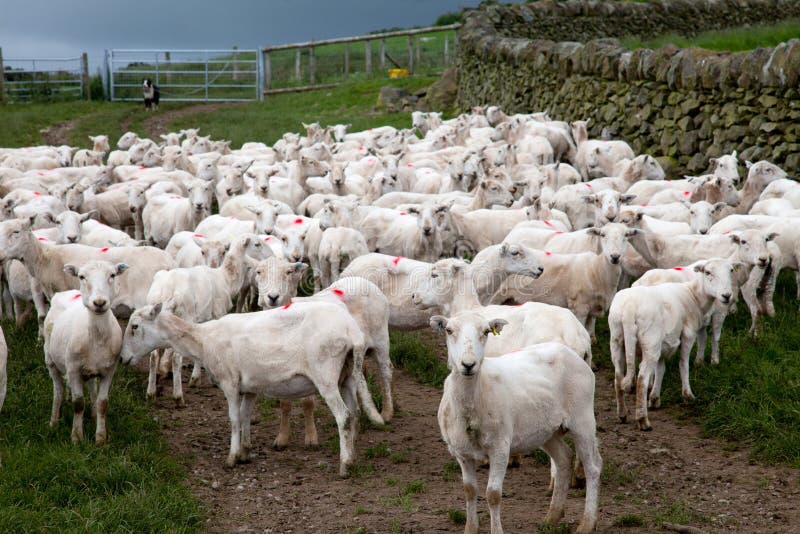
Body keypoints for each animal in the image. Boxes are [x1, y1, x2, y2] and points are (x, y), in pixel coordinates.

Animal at [43, 260, 129, 444]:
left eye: (112, 275)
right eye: (82, 276)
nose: (99, 302)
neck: (97, 338)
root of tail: (67, 292)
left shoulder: (109, 371)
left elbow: (103, 403)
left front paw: (100, 438)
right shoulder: (73, 369)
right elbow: (78, 404)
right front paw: (77, 437)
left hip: (89, 369)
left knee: (91, 388)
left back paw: (93, 414)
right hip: (50, 359)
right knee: (58, 390)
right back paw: (54, 421)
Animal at [120, 300, 366, 476]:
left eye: (135, 327)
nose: (122, 359)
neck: (203, 341)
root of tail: (351, 330)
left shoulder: (230, 382)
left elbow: (234, 418)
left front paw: (231, 458)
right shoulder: (250, 387)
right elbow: (246, 415)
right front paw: (244, 453)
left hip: (326, 375)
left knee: (343, 416)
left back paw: (344, 465)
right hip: (348, 376)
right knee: (355, 413)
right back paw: (353, 458)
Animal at [432, 311, 601, 534]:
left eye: (486, 331)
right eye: (449, 330)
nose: (468, 365)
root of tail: (573, 352)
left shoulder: (500, 447)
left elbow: (493, 494)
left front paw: (496, 530)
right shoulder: (462, 453)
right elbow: (469, 490)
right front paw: (470, 528)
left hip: (582, 418)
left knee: (593, 467)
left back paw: (587, 523)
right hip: (547, 430)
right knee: (564, 460)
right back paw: (552, 517)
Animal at [609, 258, 737, 430]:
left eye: (731, 270)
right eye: (708, 272)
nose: (726, 296)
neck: (694, 295)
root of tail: (629, 307)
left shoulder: (664, 343)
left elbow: (660, 369)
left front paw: (655, 398)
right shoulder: (688, 334)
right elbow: (684, 364)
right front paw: (688, 395)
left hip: (618, 340)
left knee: (618, 378)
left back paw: (622, 414)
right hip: (650, 342)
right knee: (642, 379)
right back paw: (643, 420)